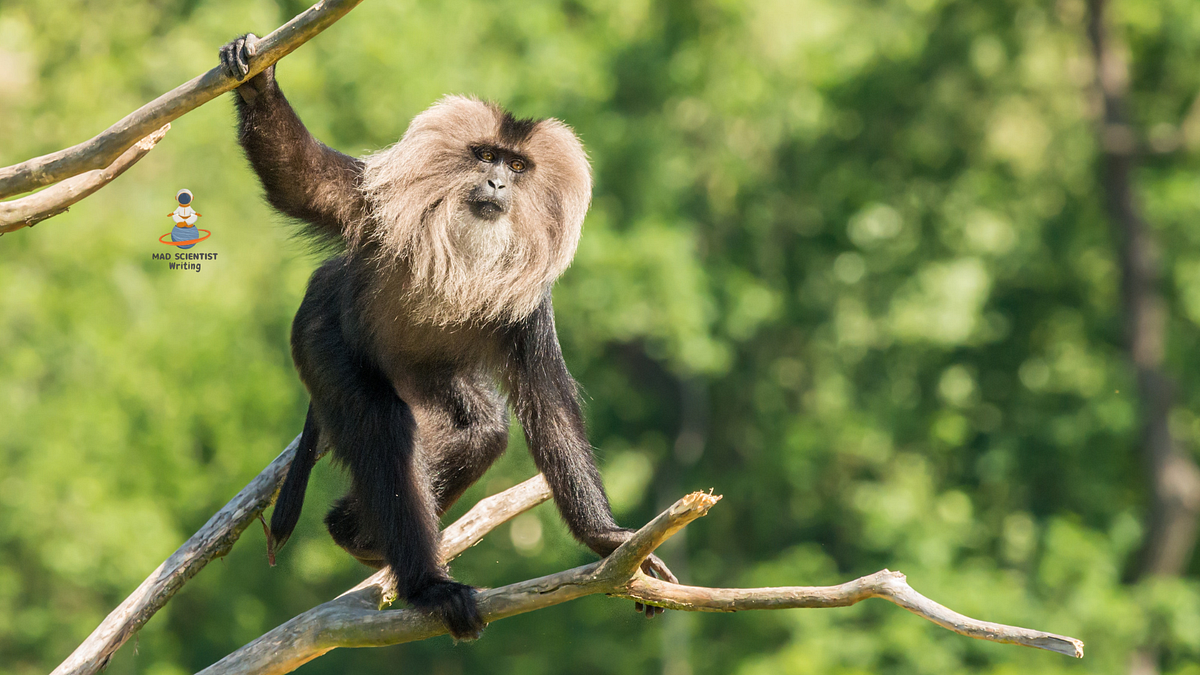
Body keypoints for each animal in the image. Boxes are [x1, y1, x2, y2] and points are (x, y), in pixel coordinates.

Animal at [217, 34, 677, 639]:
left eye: (518, 166)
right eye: (485, 157)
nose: (497, 184)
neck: (466, 247)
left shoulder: (529, 307)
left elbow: (548, 405)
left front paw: (607, 539)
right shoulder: (379, 210)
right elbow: (304, 181)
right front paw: (256, 80)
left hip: (428, 375)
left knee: (481, 426)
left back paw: (355, 532)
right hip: (320, 333)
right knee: (382, 425)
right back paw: (426, 585)